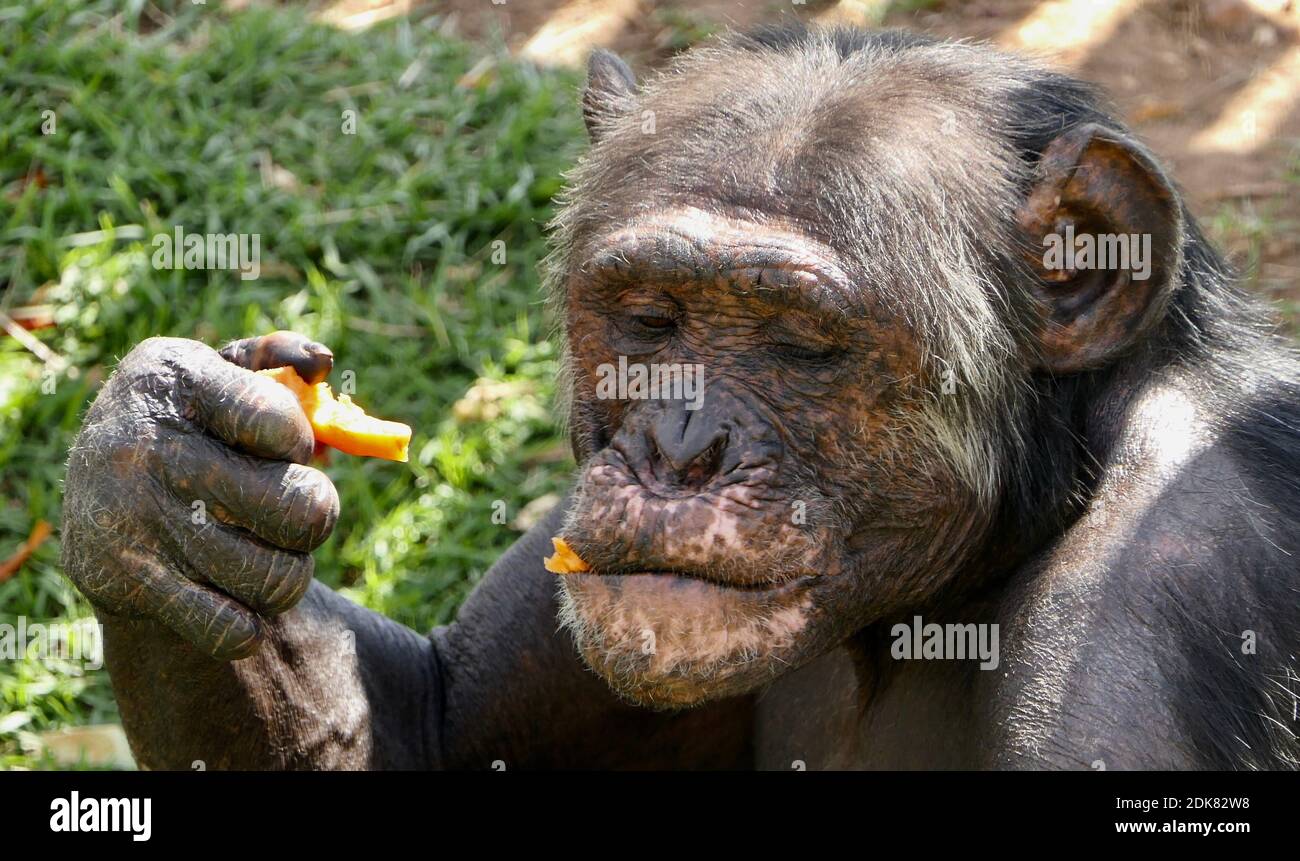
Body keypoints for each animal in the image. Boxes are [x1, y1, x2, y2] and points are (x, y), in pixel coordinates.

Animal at [60, 25, 1299, 769]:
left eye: (803, 341)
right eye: (649, 317)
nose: (678, 447)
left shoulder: (1157, 619)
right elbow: (426, 719)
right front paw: (163, 467)